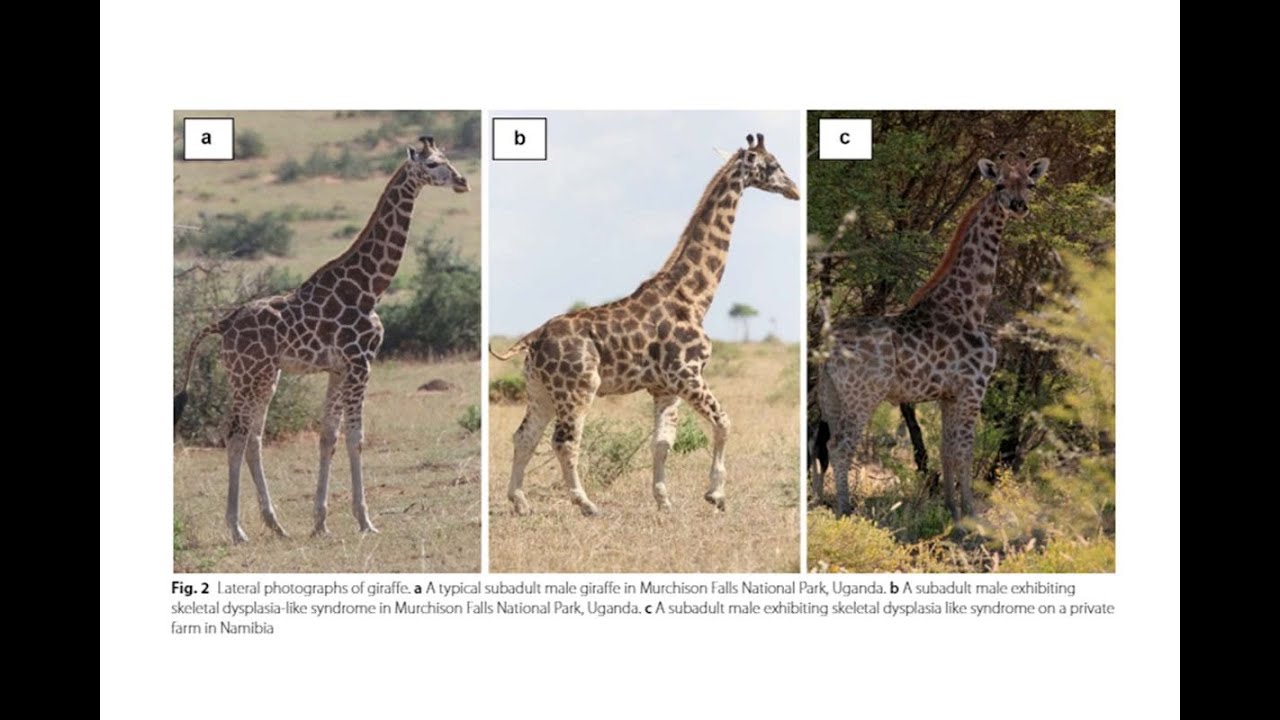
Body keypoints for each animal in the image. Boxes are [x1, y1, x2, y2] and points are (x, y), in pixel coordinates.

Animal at [174, 136, 470, 543]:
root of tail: (224, 323)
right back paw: (237, 529)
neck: (368, 289)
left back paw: (276, 525)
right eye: (434, 164)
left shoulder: (338, 368)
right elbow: (355, 438)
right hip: (248, 376)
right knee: (234, 435)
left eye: (447, 160)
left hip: (265, 378)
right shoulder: (361, 362)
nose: (462, 181)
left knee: (253, 438)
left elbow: (328, 436)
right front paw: (365, 521)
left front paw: (321, 522)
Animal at [491, 133, 799, 516]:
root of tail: (533, 338)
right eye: (773, 164)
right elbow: (723, 422)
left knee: (525, 436)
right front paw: (715, 494)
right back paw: (586, 504)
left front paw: (664, 500)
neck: (694, 297)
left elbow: (662, 443)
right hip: (578, 388)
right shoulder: (688, 374)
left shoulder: (665, 387)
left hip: (539, 390)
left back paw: (520, 502)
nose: (794, 189)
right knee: (564, 441)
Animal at [813, 152, 1049, 520]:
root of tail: (826, 348)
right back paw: (845, 512)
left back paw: (821, 504)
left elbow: (945, 449)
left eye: (1030, 183)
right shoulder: (972, 389)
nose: (1018, 205)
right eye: (999, 184)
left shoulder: (947, 395)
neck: (970, 306)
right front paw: (971, 514)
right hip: (862, 394)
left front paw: (952, 509)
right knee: (840, 445)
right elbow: (964, 449)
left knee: (821, 443)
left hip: (831, 395)